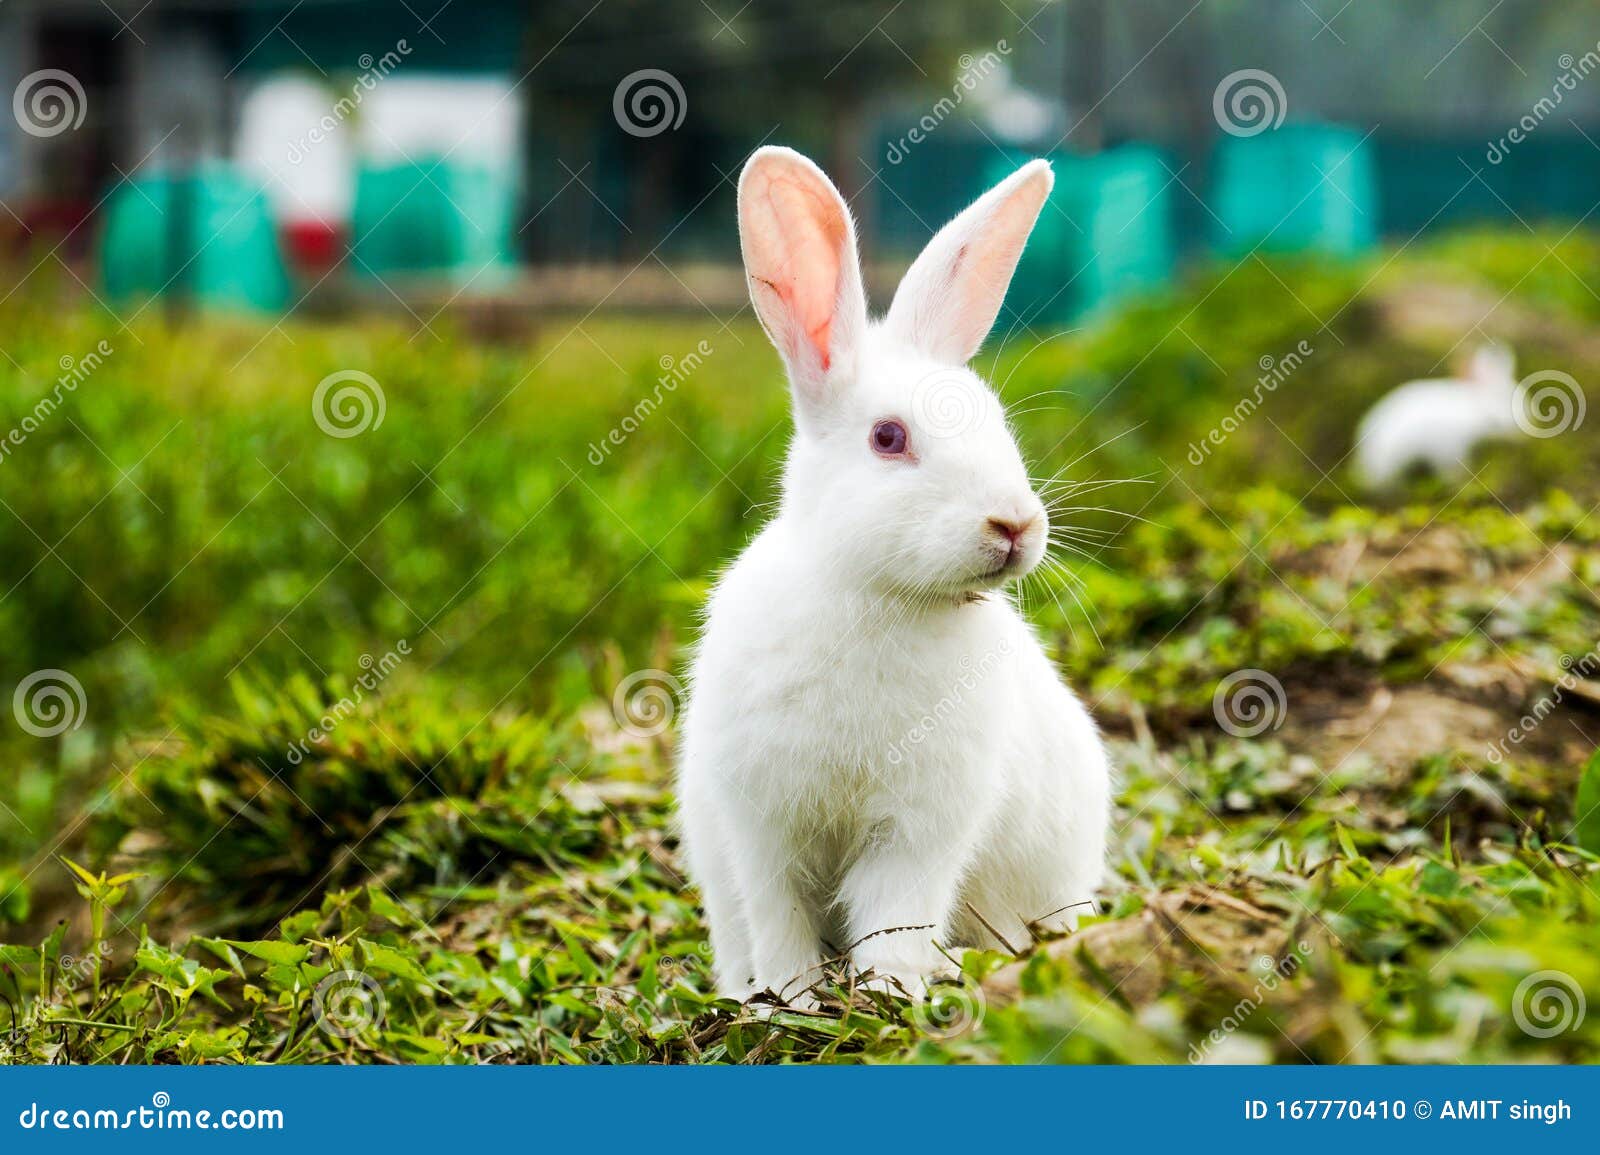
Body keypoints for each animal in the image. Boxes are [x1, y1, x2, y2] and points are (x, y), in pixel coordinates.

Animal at [675, 146, 1111, 1003]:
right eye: (888, 437)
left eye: (998, 423)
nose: (1015, 524)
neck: (879, 597)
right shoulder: (762, 825)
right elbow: (779, 916)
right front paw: (793, 996)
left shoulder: (919, 829)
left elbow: (894, 912)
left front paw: (889, 991)